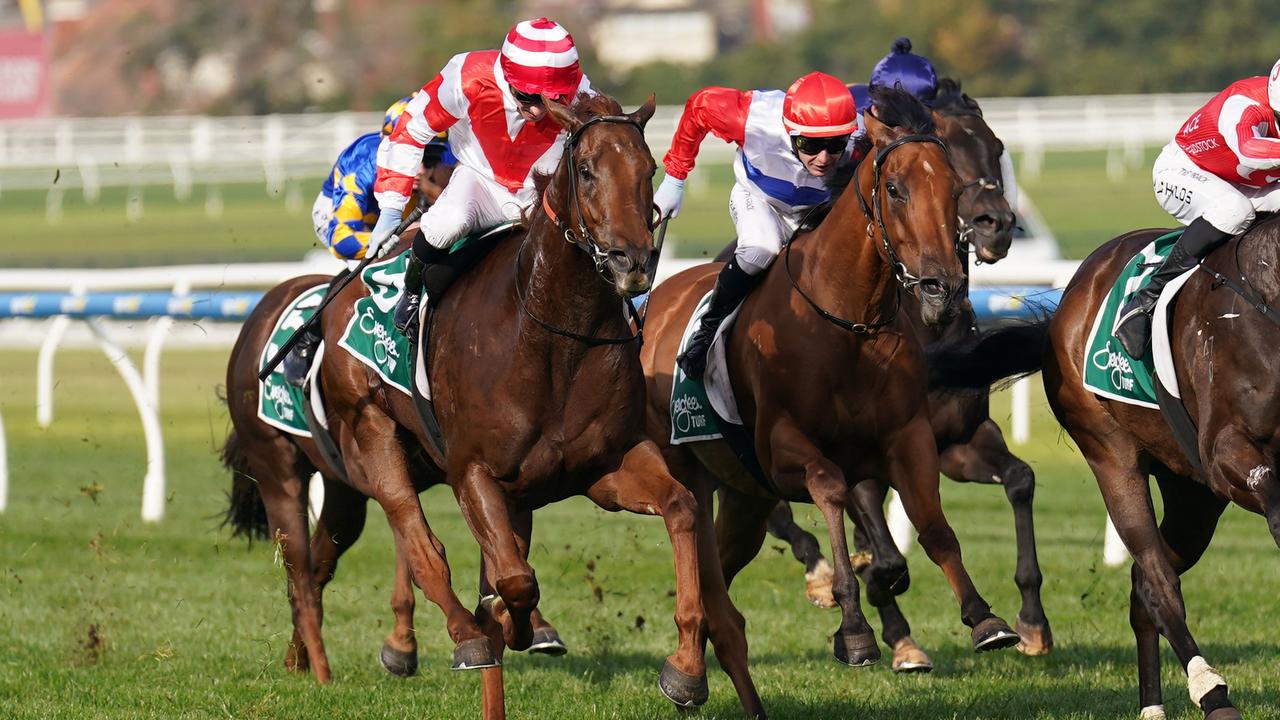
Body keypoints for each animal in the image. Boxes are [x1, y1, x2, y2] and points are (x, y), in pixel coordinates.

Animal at [315, 92, 764, 719]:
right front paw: (506, 623)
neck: (554, 338)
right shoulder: (473, 472)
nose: (632, 262)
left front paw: (685, 671)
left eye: (649, 168)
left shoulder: (604, 465)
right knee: (422, 546)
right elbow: (513, 580)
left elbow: (680, 508)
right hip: (372, 429)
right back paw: (465, 635)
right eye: (587, 169)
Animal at [640, 86, 1021, 685]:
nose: (940, 285)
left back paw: (690, 665)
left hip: (742, 495)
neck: (847, 321)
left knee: (717, 564)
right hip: (691, 471)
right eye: (895, 188)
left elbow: (934, 529)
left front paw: (985, 618)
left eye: (952, 186)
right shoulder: (786, 450)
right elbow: (832, 488)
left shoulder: (912, 438)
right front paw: (857, 626)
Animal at [761, 78, 1051, 669]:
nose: (996, 225)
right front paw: (880, 611)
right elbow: (887, 555)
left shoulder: (956, 441)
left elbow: (1020, 480)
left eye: (997, 147)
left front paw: (1032, 621)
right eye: (950, 148)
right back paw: (832, 580)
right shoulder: (865, 463)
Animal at [928, 219, 1280, 719]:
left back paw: (1153, 706)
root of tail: (1069, 301)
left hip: (1191, 494)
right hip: (1112, 455)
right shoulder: (1226, 451)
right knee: (1156, 581)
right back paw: (1211, 693)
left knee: (1141, 582)